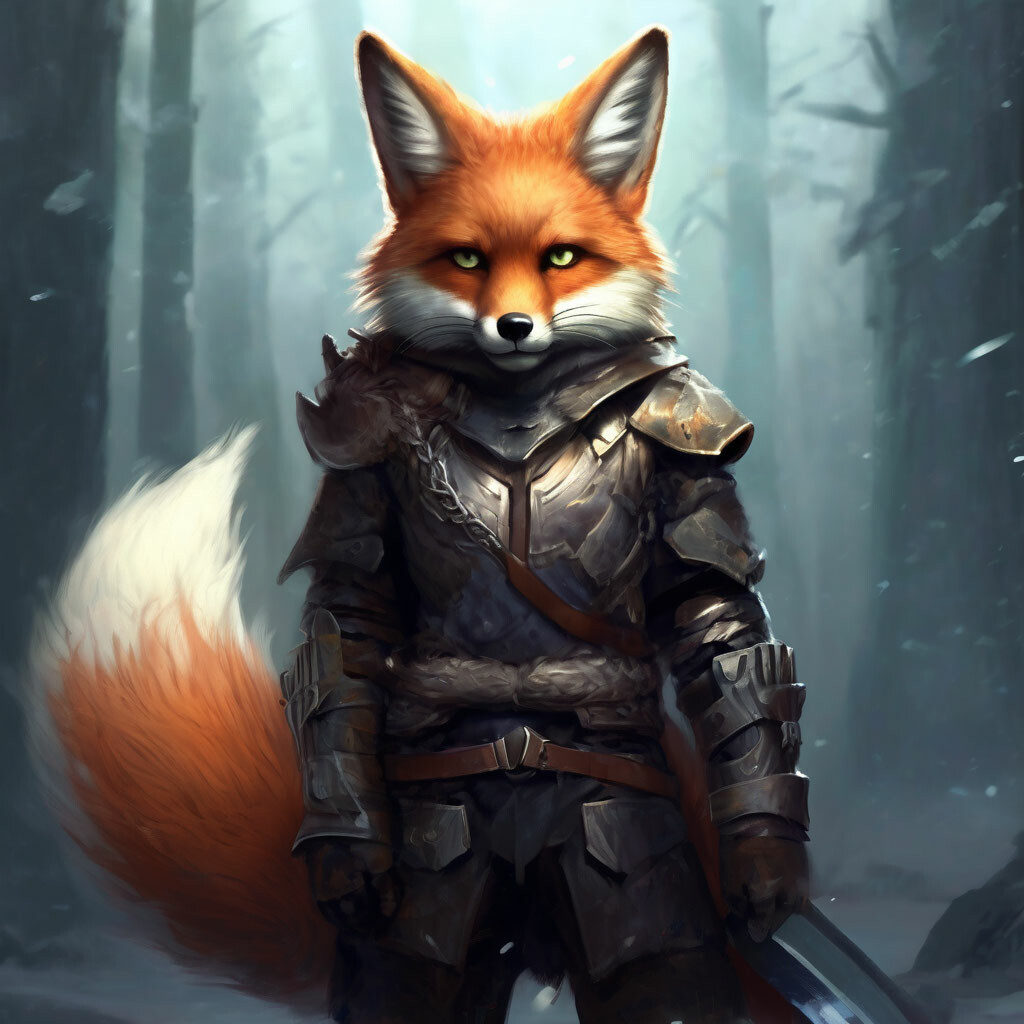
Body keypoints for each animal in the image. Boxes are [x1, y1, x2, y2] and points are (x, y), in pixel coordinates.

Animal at [29, 26, 805, 1023]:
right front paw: (348, 861)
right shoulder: (357, 479)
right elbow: (347, 626)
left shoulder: (691, 441)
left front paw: (767, 869)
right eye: (466, 259)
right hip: (440, 880)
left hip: (628, 875)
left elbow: (717, 626)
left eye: (561, 258)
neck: (518, 400)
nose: (513, 327)